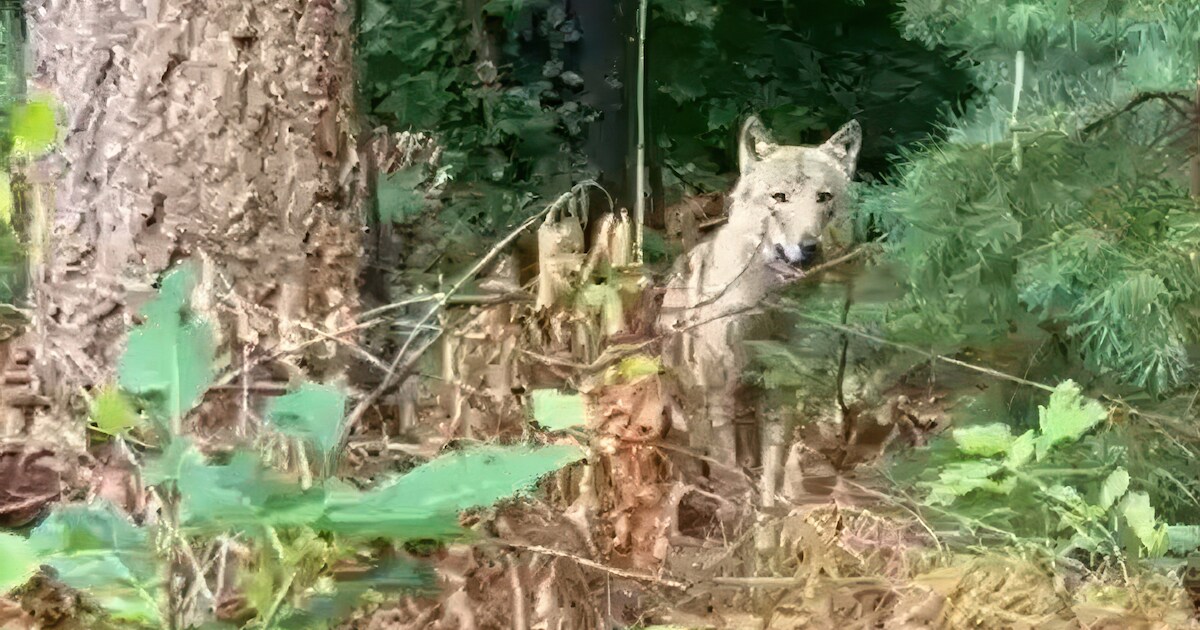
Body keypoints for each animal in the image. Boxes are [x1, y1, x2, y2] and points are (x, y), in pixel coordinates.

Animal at [658, 116, 861, 494]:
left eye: (823, 197)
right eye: (779, 197)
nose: (809, 247)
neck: (772, 307)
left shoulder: (782, 389)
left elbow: (773, 465)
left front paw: (770, 503)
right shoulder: (720, 390)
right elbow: (726, 465)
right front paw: (732, 499)